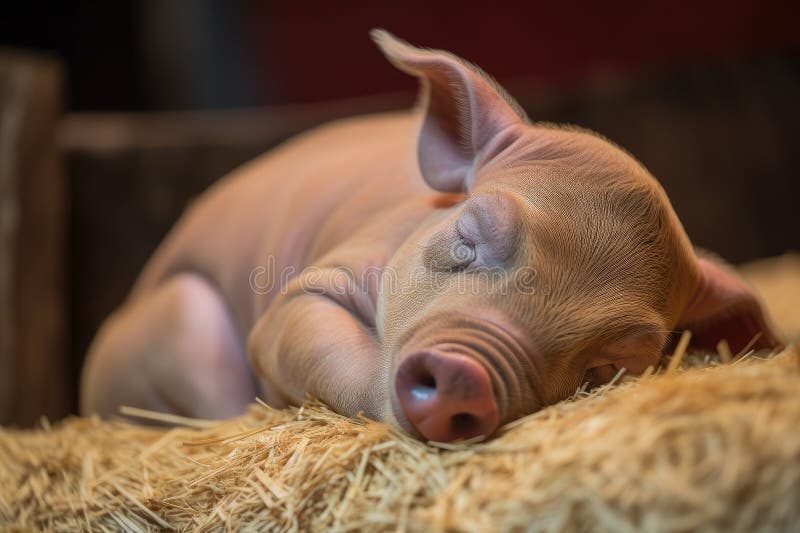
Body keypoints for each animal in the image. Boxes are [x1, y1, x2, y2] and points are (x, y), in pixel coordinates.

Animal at [80, 30, 780, 442]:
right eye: (467, 237)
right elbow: (301, 334)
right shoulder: (312, 285)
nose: (466, 372)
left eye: (611, 367)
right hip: (181, 320)